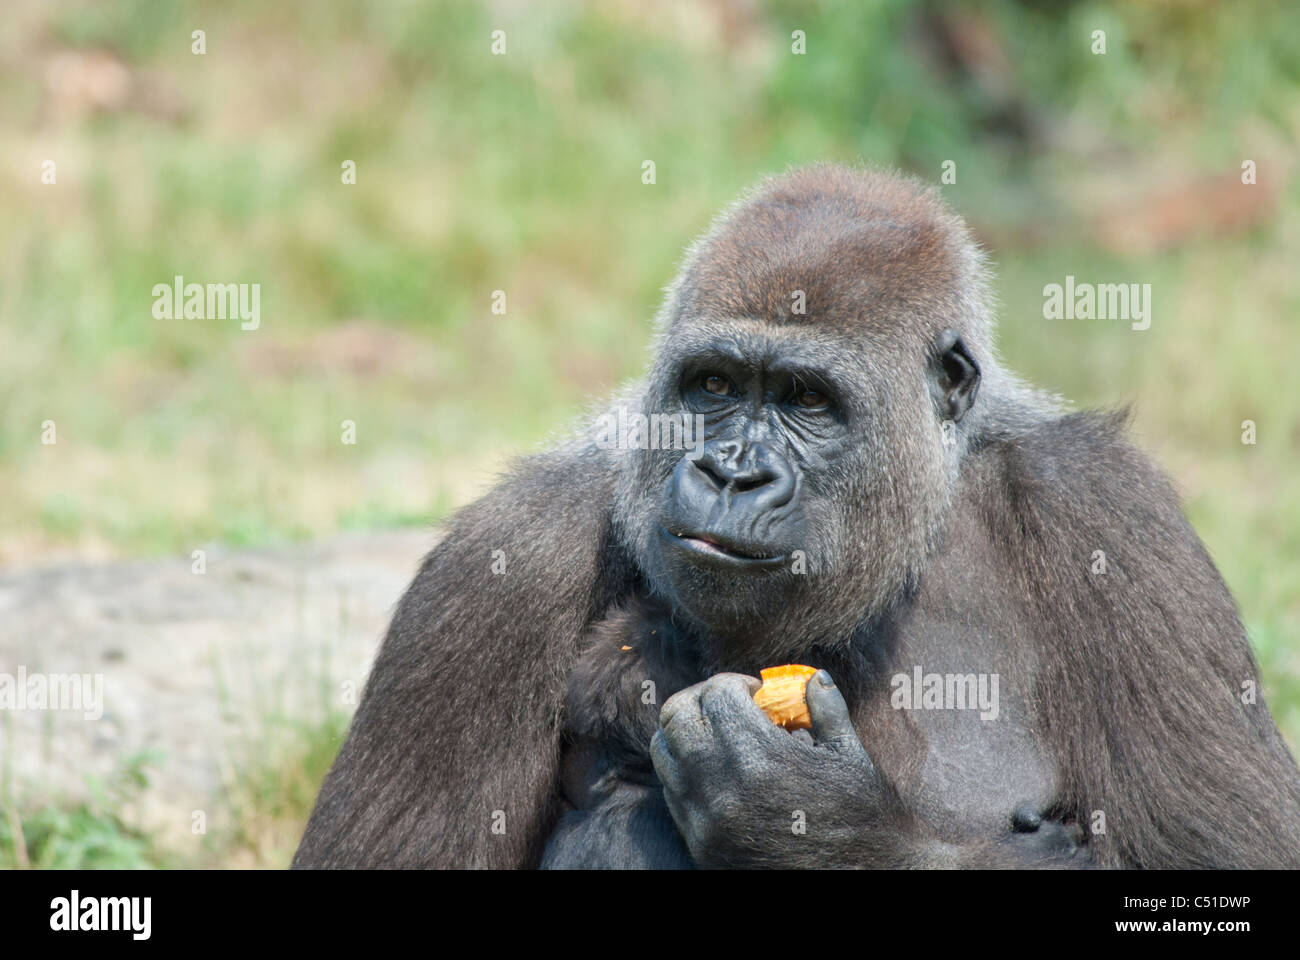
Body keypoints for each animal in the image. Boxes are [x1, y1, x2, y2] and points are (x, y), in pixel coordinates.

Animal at [293, 163, 1300, 869]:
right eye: (712, 386)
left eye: (806, 399)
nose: (731, 474)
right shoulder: (502, 561)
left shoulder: (1109, 514)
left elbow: (1224, 853)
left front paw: (821, 823)